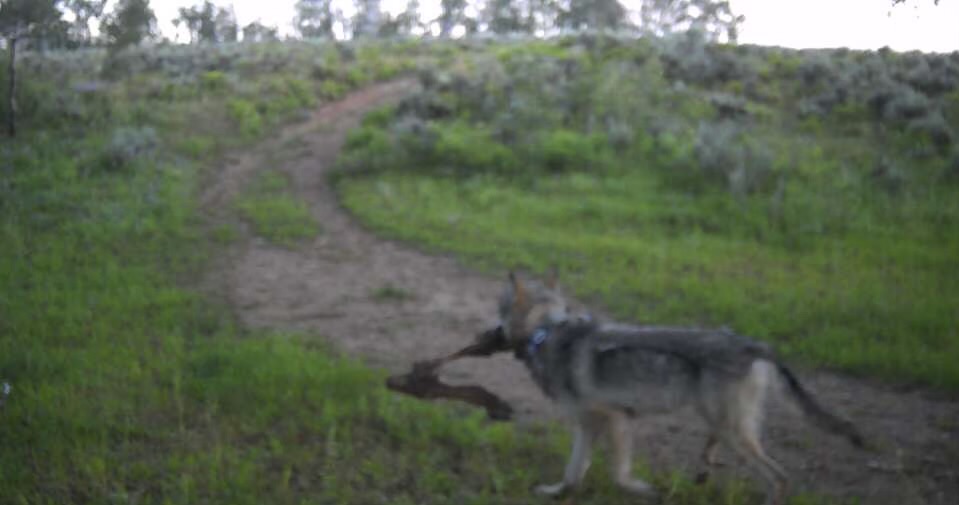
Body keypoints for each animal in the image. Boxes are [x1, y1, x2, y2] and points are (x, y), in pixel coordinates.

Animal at [497, 272, 864, 505]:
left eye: (498, 309)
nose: (491, 330)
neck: (547, 331)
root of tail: (754, 345)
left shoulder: (615, 419)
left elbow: (619, 475)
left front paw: (643, 491)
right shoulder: (589, 427)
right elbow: (573, 472)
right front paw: (554, 493)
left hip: (734, 432)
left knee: (780, 478)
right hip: (722, 422)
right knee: (722, 449)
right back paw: (704, 467)